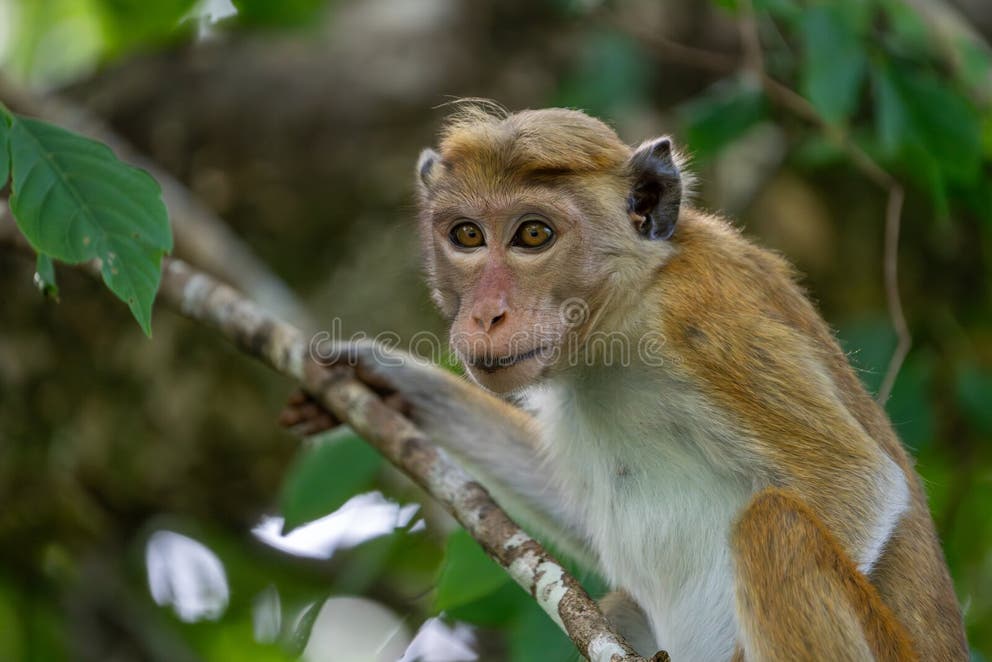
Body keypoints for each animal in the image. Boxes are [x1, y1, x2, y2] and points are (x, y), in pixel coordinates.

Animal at [283, 105, 968, 661]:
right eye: (467, 235)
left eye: (533, 234)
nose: (485, 315)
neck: (621, 320)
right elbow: (574, 509)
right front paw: (382, 374)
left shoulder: (702, 326)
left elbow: (858, 481)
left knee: (777, 526)